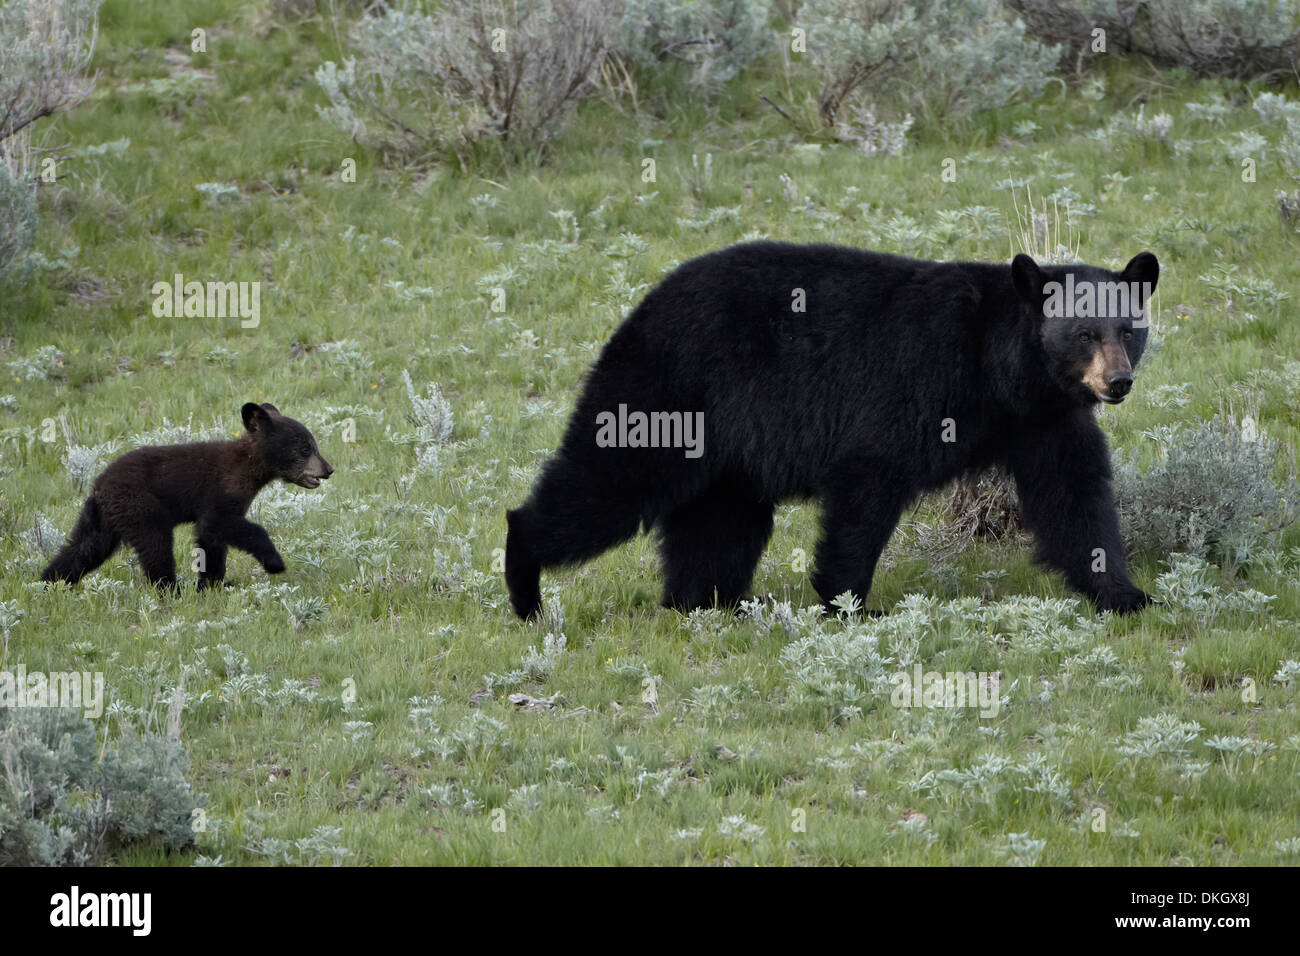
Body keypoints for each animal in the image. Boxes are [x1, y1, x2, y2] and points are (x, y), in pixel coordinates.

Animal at [40, 402, 332, 590]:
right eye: (305, 448)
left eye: (314, 445)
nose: (328, 469)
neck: (249, 467)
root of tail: (98, 485)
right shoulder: (219, 492)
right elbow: (221, 525)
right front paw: (274, 562)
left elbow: (210, 542)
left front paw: (214, 583)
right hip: (140, 507)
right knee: (156, 547)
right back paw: (172, 589)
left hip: (103, 518)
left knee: (83, 548)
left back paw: (48, 582)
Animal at [505, 241, 1158, 620]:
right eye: (1084, 333)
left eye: (1127, 329)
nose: (1118, 382)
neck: (1003, 372)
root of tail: (641, 305)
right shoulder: (918, 379)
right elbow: (869, 481)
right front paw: (848, 603)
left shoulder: (1047, 418)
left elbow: (1074, 497)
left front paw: (1125, 593)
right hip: (667, 388)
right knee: (606, 481)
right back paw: (526, 587)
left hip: (724, 450)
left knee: (718, 524)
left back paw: (708, 602)